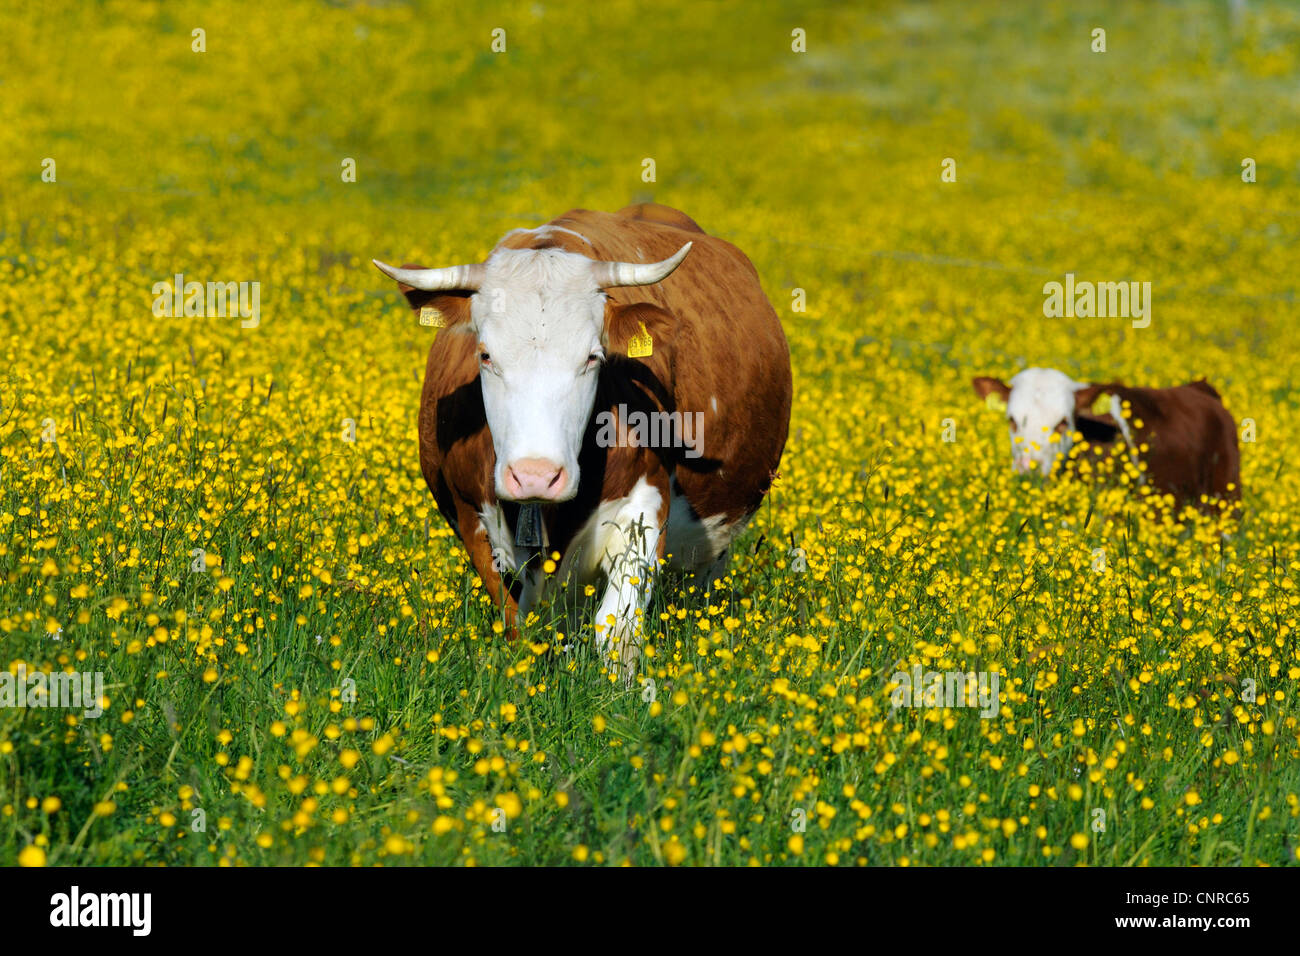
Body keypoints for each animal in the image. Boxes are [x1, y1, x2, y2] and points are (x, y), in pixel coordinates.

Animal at [375, 204, 792, 678]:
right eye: (485, 354)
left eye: (593, 357)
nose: (536, 476)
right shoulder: (471, 520)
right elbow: (518, 627)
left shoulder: (643, 510)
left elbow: (617, 633)